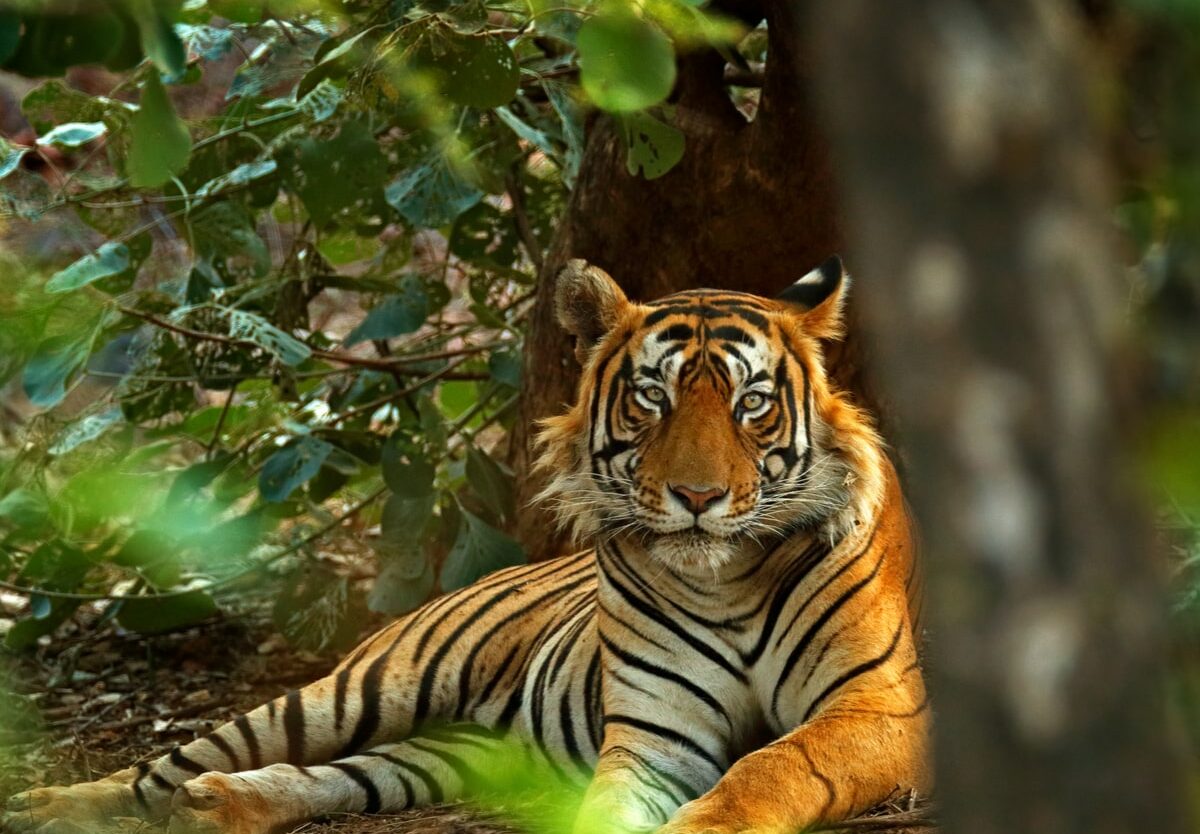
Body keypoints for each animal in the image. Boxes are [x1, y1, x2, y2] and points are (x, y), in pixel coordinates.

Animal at [4, 256, 929, 834]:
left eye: (751, 404)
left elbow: (778, 765)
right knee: (170, 763)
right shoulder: (654, 735)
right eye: (652, 399)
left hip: (450, 752)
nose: (696, 499)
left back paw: (217, 806)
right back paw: (57, 806)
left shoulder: (880, 706)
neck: (726, 579)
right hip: (360, 688)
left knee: (338, 774)